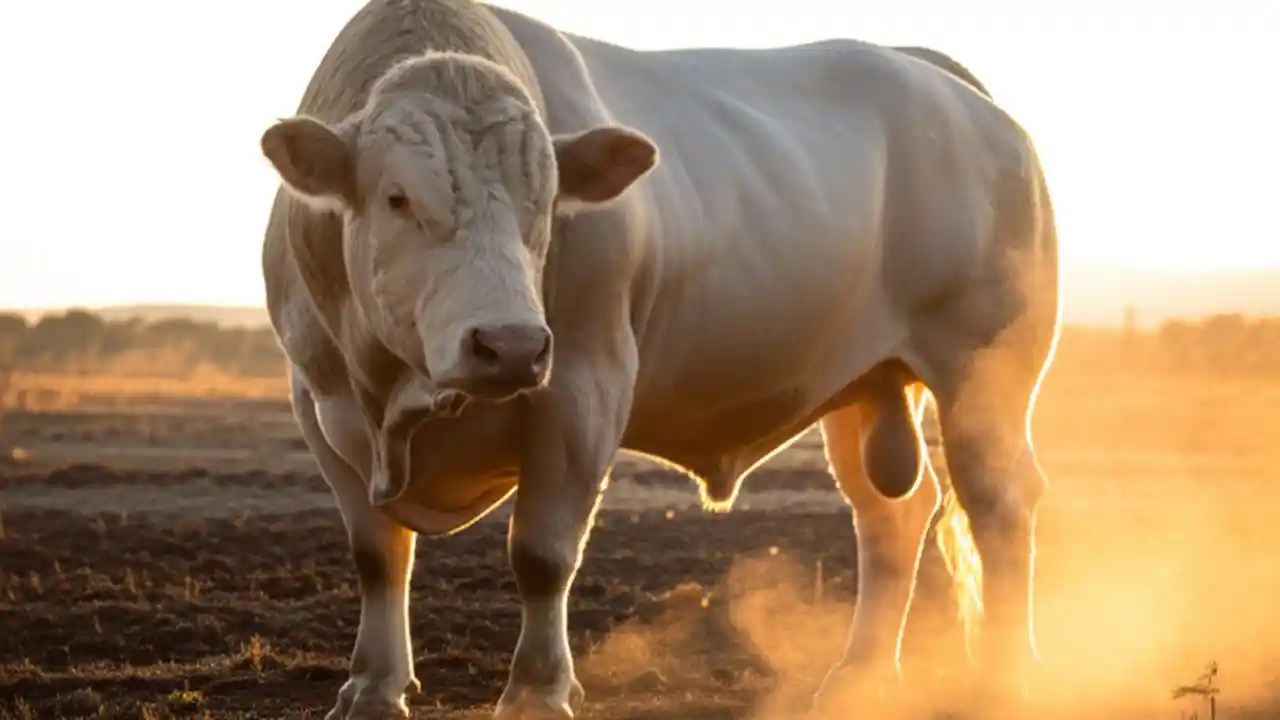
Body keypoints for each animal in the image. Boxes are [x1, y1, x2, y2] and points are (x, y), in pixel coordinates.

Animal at [258, 0, 1059, 717]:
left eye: (548, 204)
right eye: (396, 198)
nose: (509, 344)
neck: (398, 394)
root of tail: (935, 73)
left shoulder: (584, 387)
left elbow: (542, 553)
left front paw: (537, 693)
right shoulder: (319, 402)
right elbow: (376, 554)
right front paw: (373, 687)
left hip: (986, 373)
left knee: (998, 501)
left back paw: (1005, 678)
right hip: (867, 385)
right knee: (892, 514)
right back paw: (857, 675)